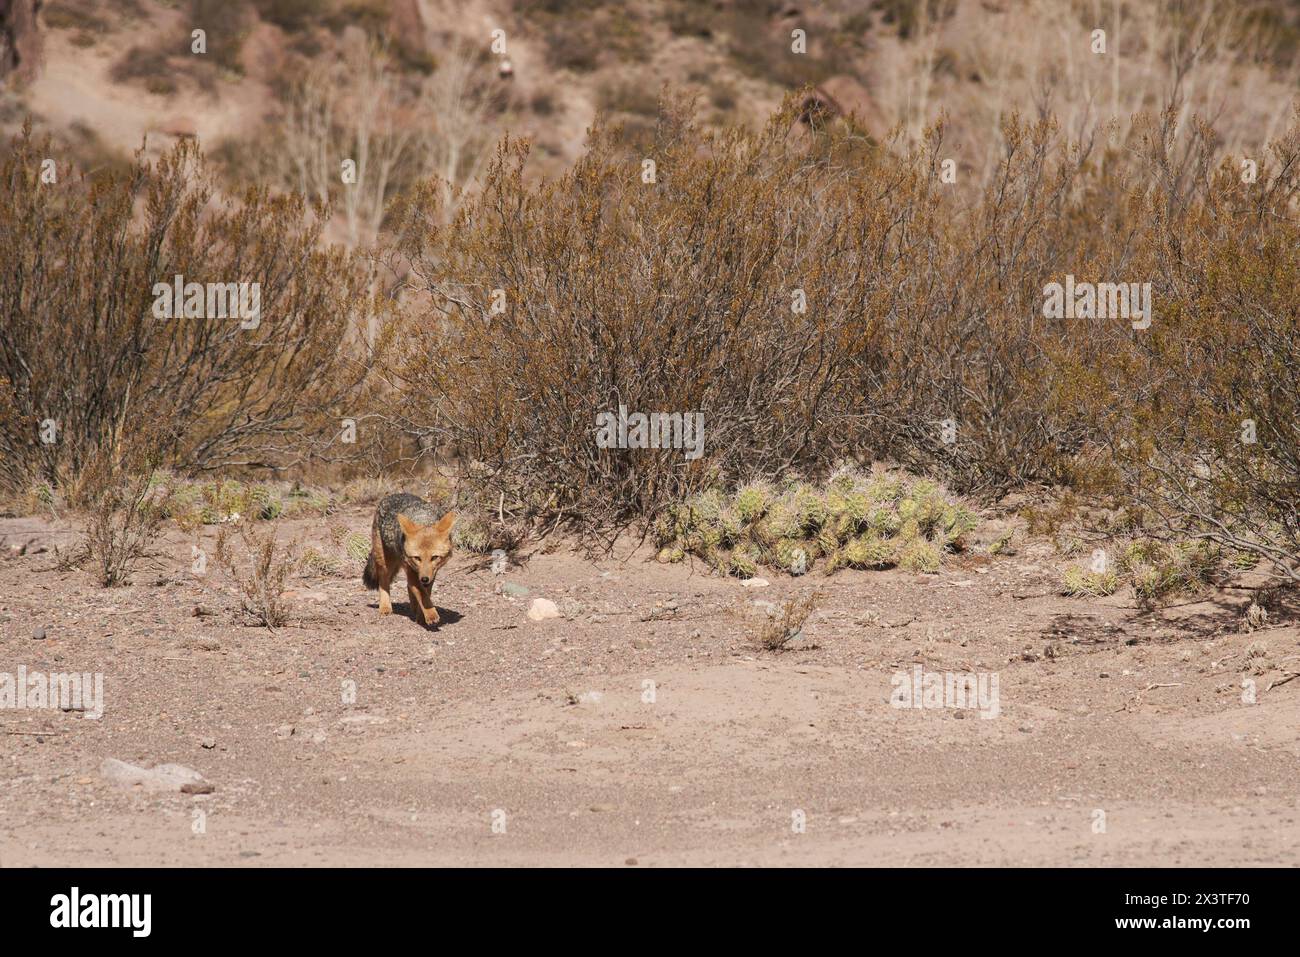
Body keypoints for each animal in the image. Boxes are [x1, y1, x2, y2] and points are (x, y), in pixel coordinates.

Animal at [362, 493, 455, 628]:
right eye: (417, 558)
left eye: (434, 557)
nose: (424, 579)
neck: (424, 518)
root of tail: (392, 495)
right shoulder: (411, 569)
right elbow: (422, 594)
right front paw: (431, 615)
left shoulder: (431, 574)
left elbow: (425, 594)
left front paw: (421, 616)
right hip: (385, 563)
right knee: (384, 582)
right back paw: (385, 607)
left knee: (408, 586)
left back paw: (414, 608)